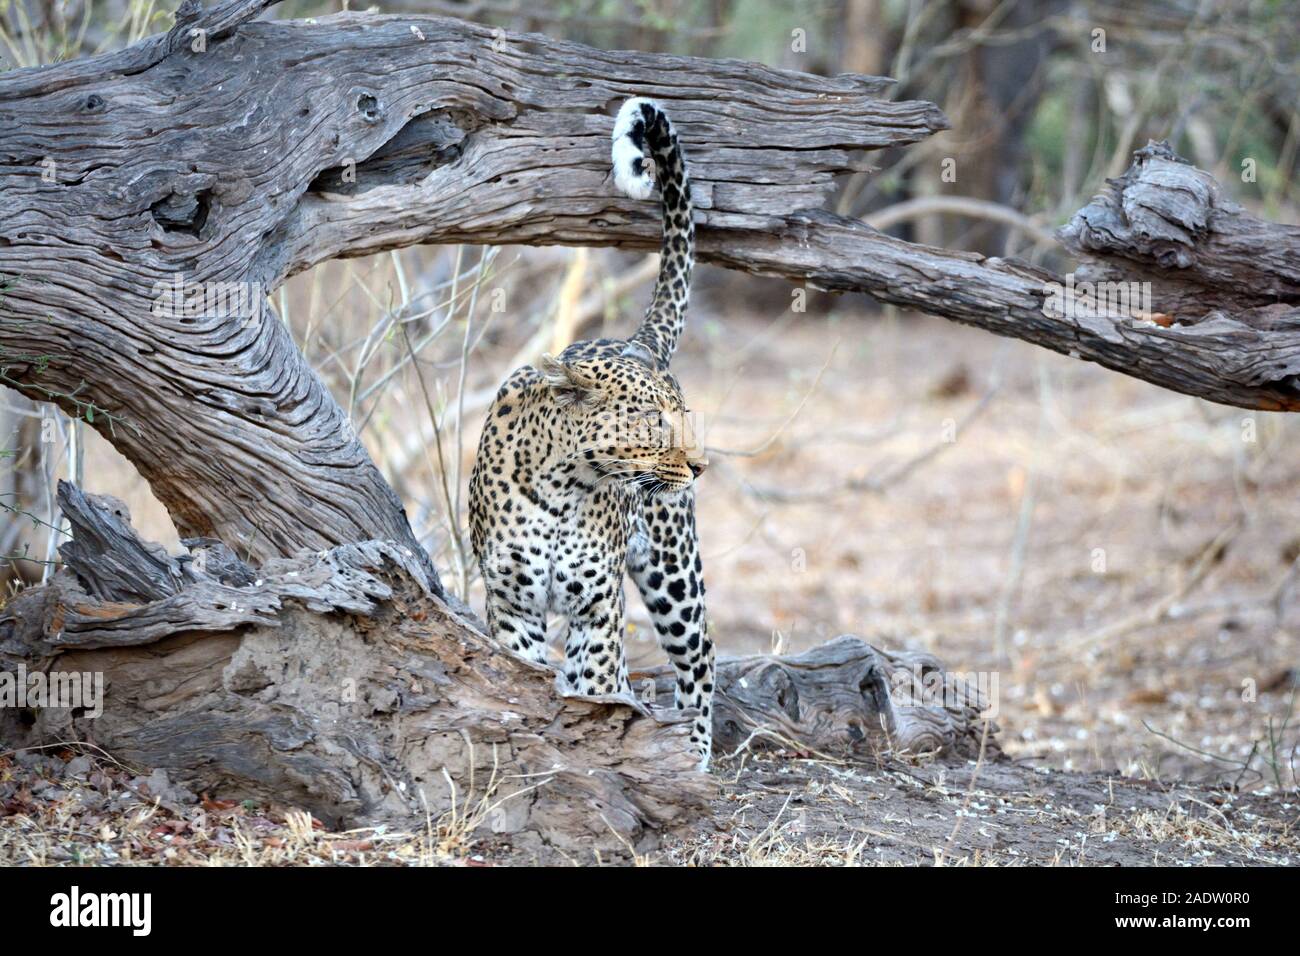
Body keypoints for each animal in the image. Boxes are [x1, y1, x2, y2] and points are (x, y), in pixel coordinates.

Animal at [468, 97, 714, 768]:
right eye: (652, 420)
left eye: (683, 416)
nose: (701, 467)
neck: (562, 487)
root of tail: (634, 340)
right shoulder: (512, 602)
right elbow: (524, 676)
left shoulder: (598, 606)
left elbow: (598, 686)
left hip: (673, 568)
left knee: (700, 659)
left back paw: (697, 758)